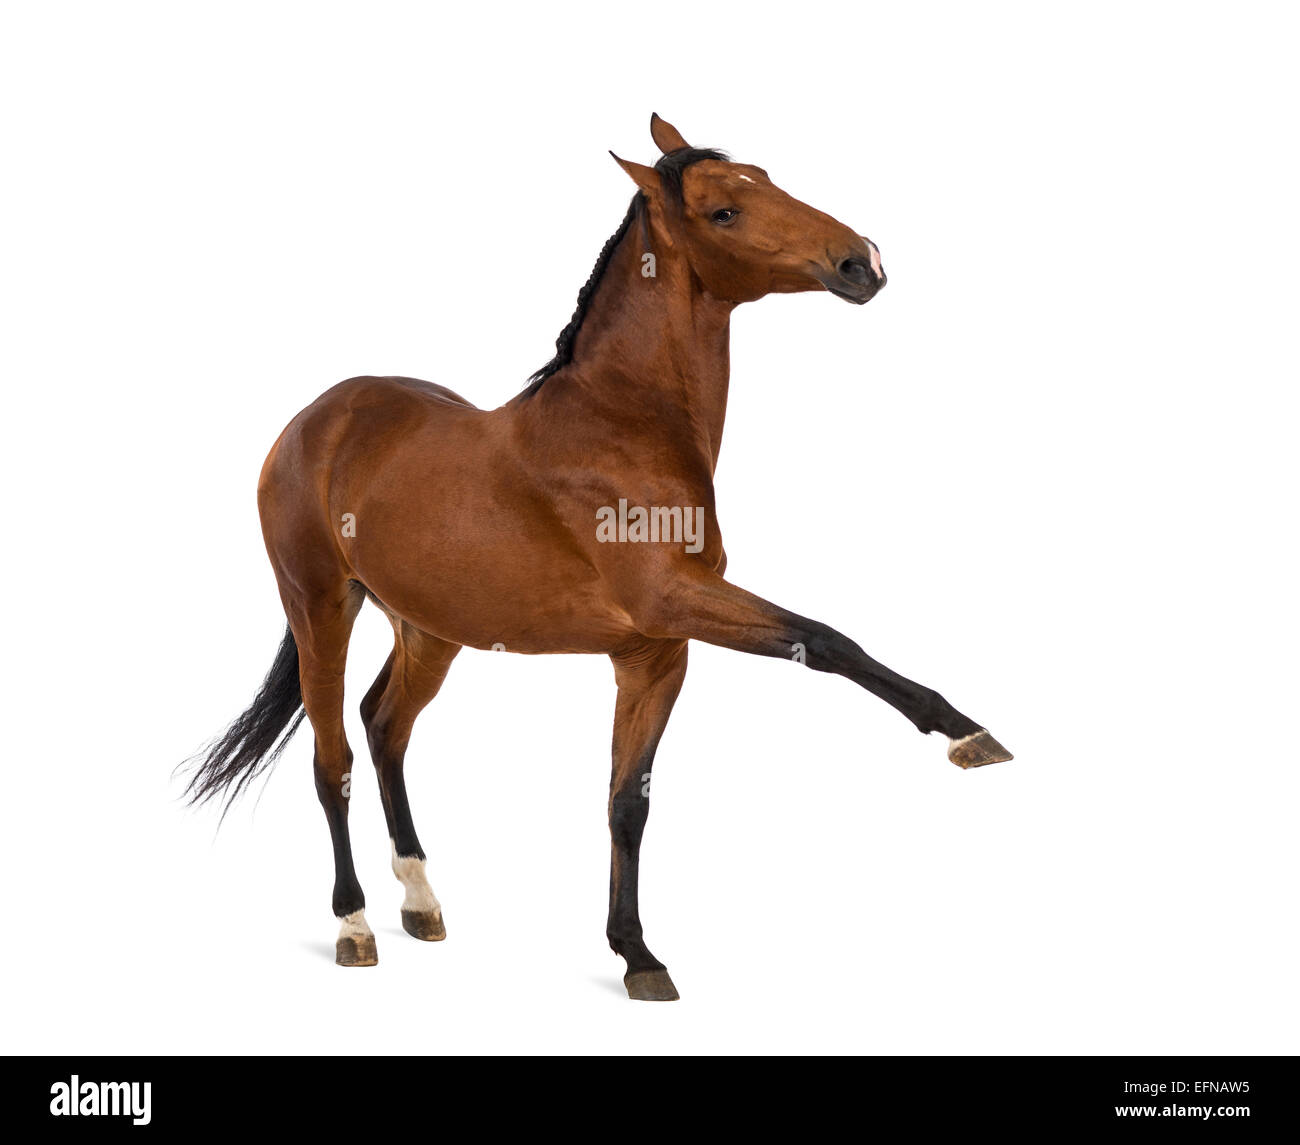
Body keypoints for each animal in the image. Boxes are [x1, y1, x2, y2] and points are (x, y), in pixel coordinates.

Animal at [185, 113, 1012, 1001]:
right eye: (722, 211)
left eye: (766, 176)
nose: (863, 261)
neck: (624, 423)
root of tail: (312, 419)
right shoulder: (674, 601)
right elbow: (827, 640)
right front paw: (967, 735)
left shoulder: (655, 652)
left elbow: (628, 801)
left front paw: (637, 953)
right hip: (319, 606)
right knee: (331, 757)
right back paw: (356, 925)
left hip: (431, 628)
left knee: (385, 727)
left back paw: (421, 901)